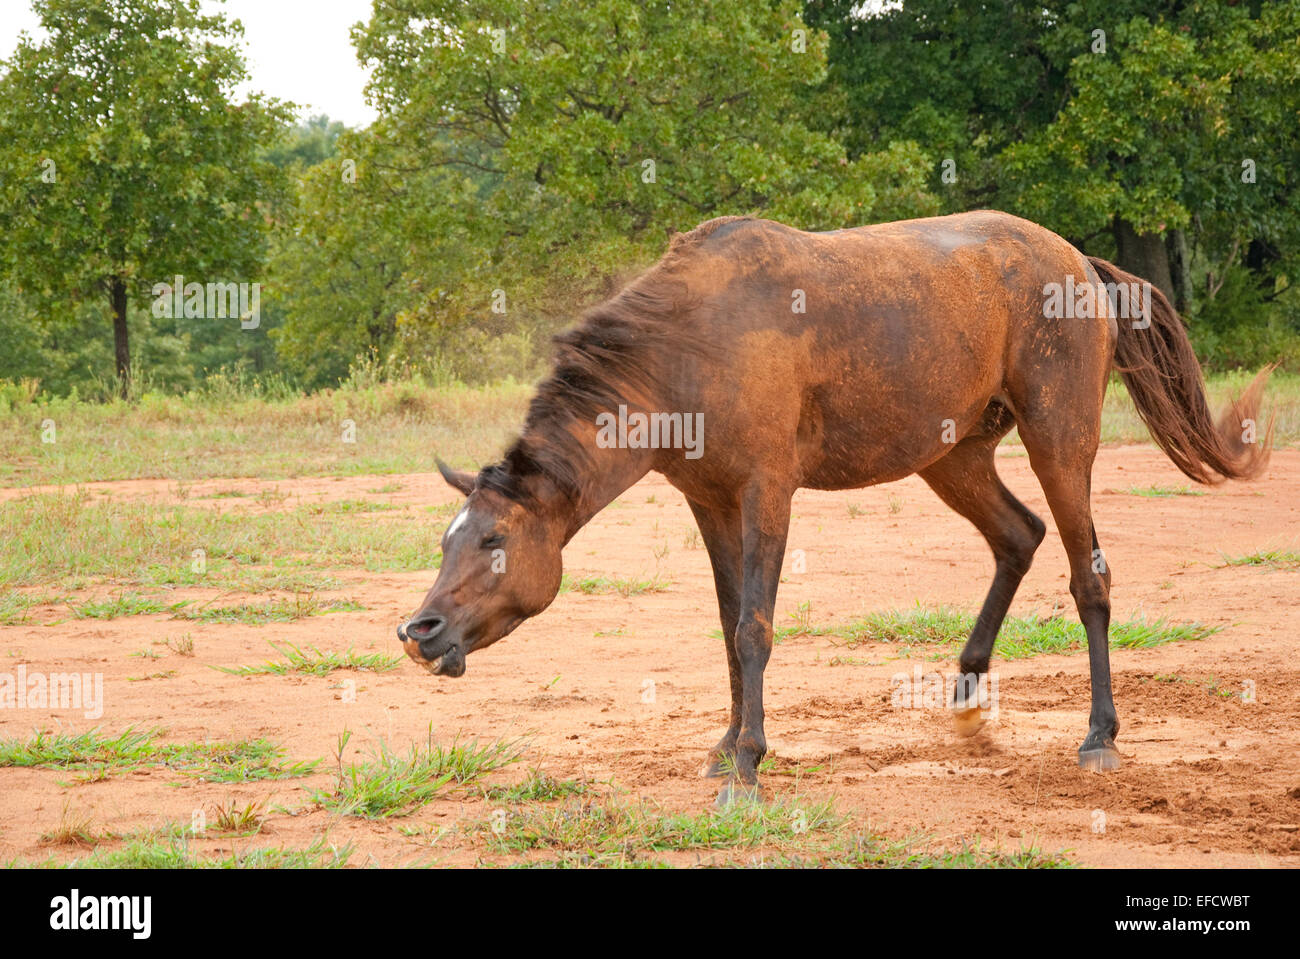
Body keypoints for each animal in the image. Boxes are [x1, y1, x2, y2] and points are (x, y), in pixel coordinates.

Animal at [397, 210, 1272, 803]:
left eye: (495, 541)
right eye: (446, 541)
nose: (419, 631)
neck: (690, 346)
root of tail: (1081, 265)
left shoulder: (767, 492)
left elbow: (754, 628)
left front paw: (747, 766)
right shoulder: (710, 503)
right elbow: (728, 627)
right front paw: (728, 744)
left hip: (1060, 444)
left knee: (1088, 576)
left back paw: (1098, 736)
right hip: (954, 457)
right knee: (1016, 537)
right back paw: (966, 696)